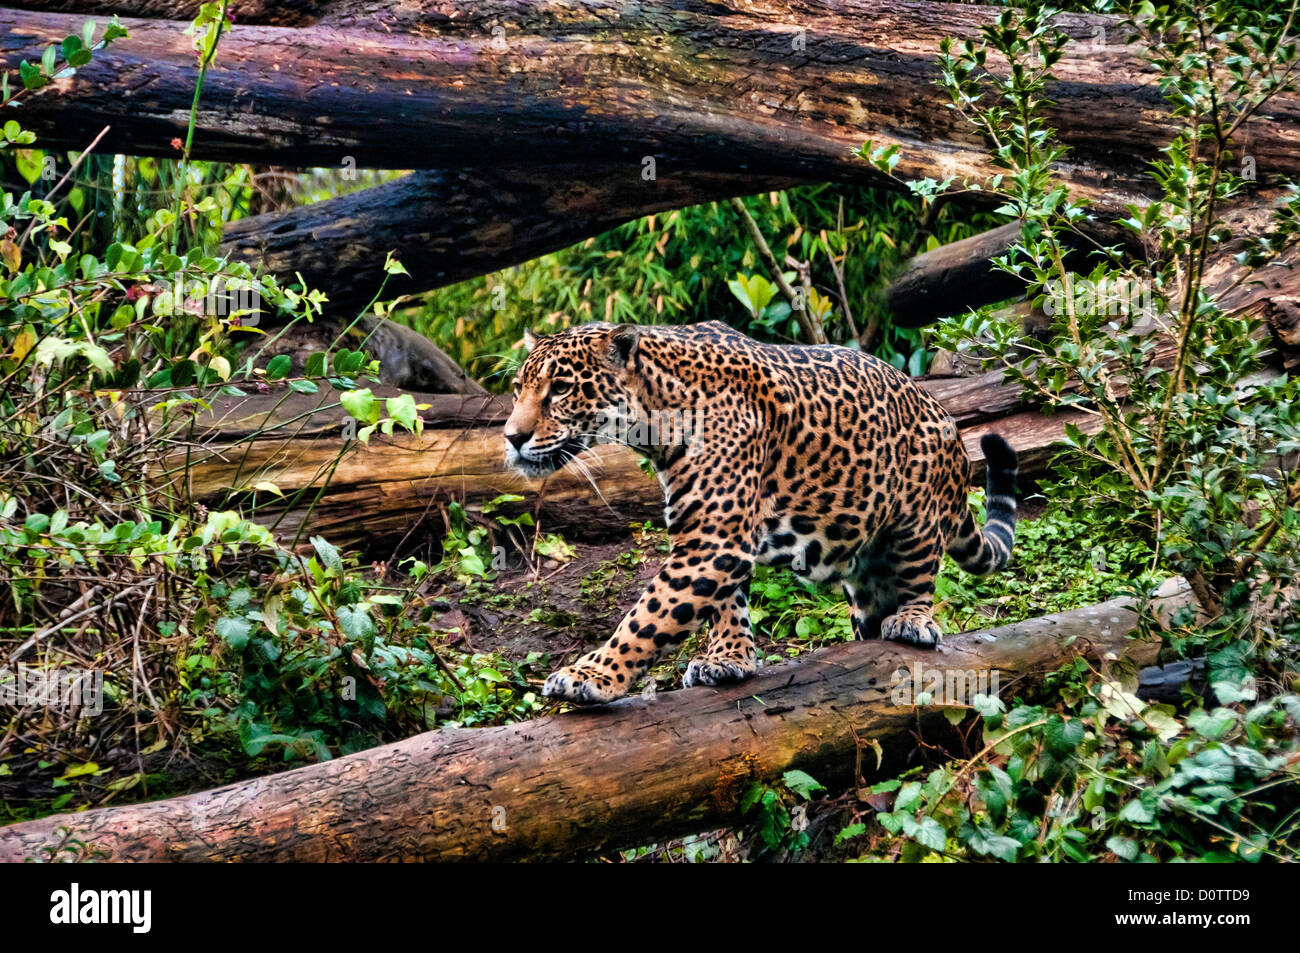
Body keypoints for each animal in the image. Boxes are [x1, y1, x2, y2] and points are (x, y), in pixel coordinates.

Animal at [504, 320, 1018, 706]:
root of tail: (947, 418)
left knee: (920, 577)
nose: (511, 437)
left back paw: (913, 622)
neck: (654, 416)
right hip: (866, 567)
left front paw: (590, 676)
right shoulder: (712, 535)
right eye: (516, 390)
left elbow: (647, 618)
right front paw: (729, 660)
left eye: (561, 388)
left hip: (916, 517)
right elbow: (725, 604)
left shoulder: (712, 540)